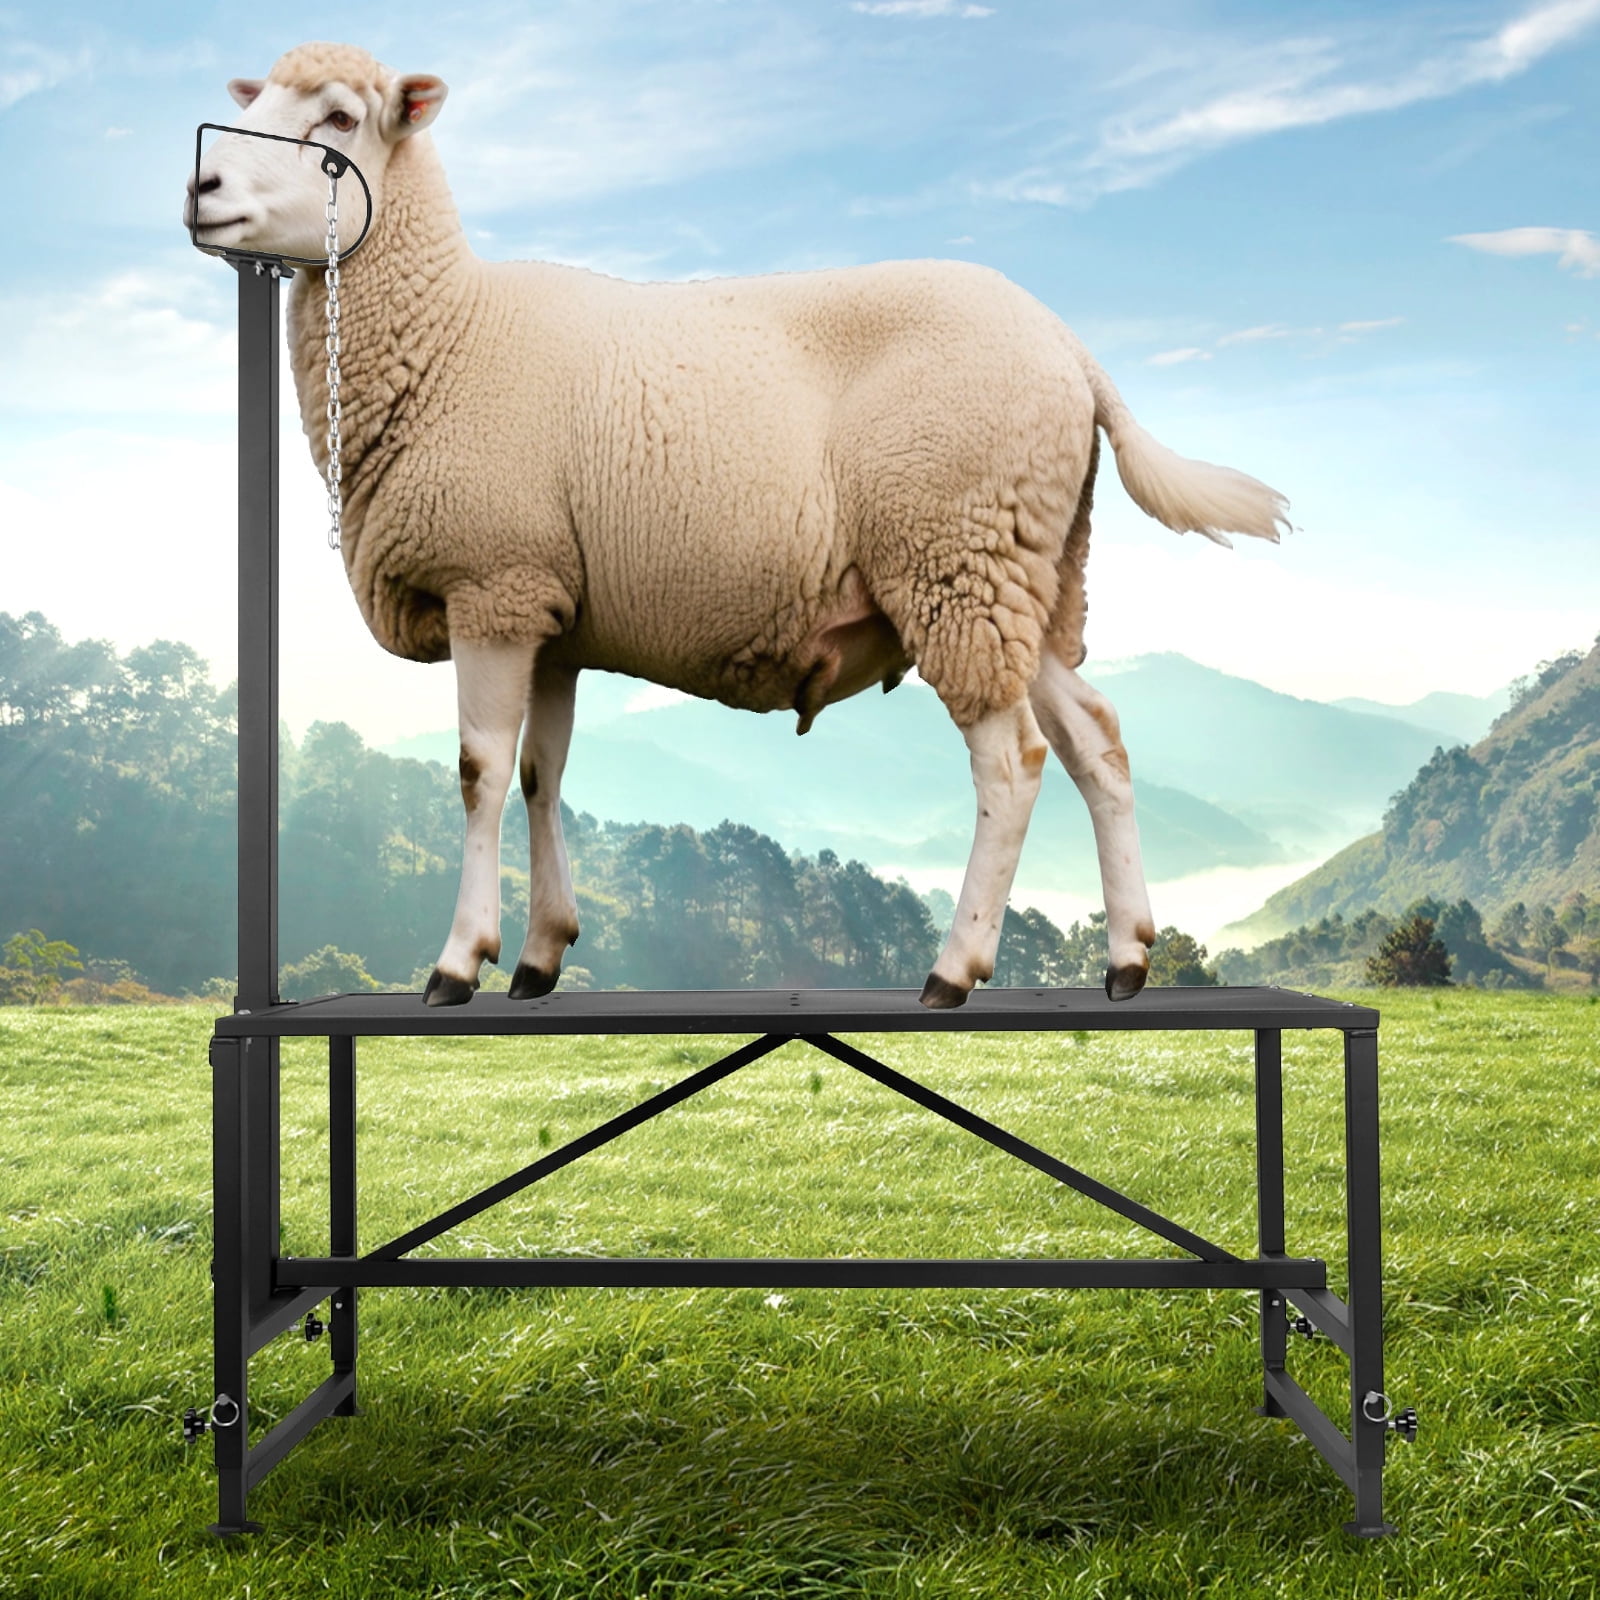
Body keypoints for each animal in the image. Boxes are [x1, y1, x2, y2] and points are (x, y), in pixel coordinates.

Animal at [184, 42, 1289, 1010]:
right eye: (260, 100)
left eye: (338, 120)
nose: (202, 186)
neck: (446, 329)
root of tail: (1071, 348)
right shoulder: (551, 608)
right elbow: (545, 776)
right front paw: (541, 955)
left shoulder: (492, 582)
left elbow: (479, 774)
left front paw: (461, 961)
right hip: (1029, 566)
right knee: (1097, 740)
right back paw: (1128, 959)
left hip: (951, 552)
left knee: (1010, 761)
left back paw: (955, 969)